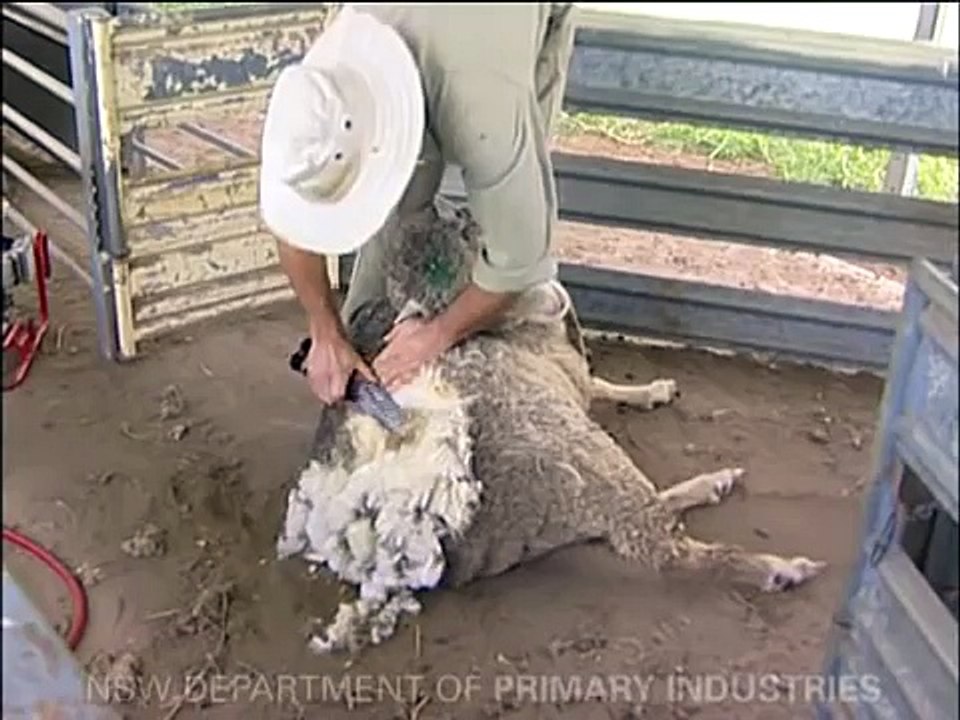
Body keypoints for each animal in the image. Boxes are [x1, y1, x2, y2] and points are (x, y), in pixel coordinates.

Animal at [276, 198, 825, 653]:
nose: (454, 210)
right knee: (655, 544)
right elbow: (599, 384)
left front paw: (653, 391)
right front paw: (650, 391)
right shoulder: (569, 377)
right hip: (588, 459)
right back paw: (778, 566)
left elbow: (603, 385)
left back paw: (712, 489)